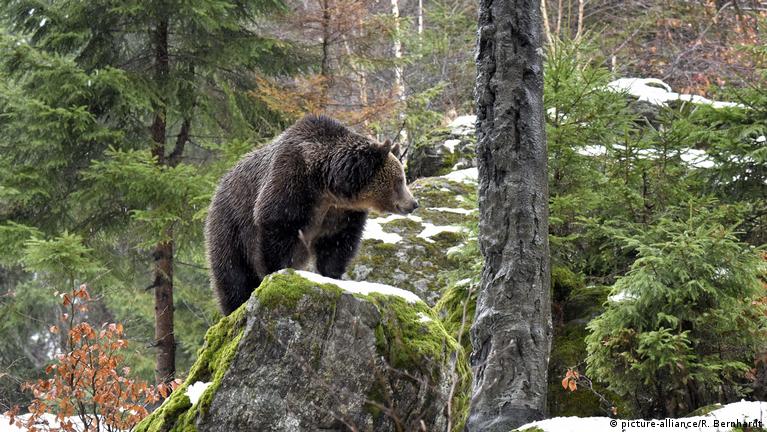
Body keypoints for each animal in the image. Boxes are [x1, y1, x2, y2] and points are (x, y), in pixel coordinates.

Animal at [205, 114, 419, 315]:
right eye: (399, 180)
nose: (413, 203)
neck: (326, 184)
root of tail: (218, 187)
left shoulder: (340, 214)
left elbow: (337, 244)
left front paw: (332, 274)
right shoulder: (290, 186)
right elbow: (276, 230)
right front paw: (276, 271)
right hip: (230, 226)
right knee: (233, 273)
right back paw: (235, 305)